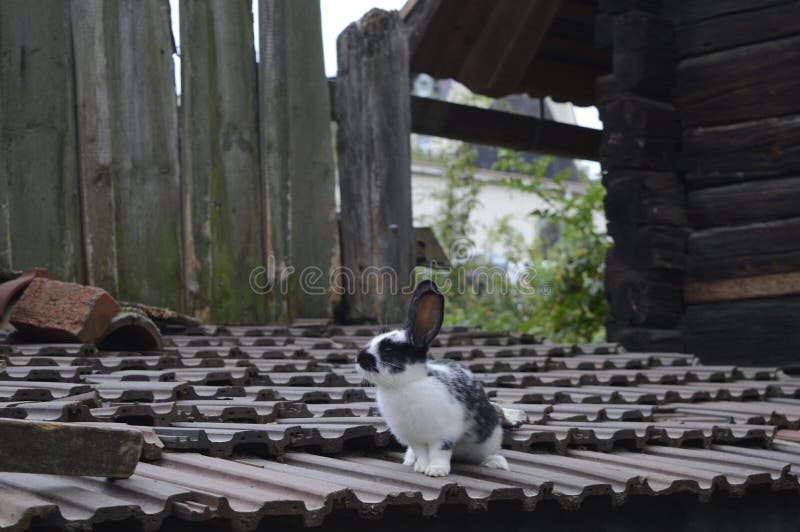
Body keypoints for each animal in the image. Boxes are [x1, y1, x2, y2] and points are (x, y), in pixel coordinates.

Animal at [355, 280, 509, 477]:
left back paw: (496, 462)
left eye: (388, 349)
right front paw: (421, 467)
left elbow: (439, 453)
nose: (358, 359)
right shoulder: (415, 439)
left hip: (490, 438)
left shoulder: (443, 435)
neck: (407, 384)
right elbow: (421, 453)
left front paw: (436, 471)